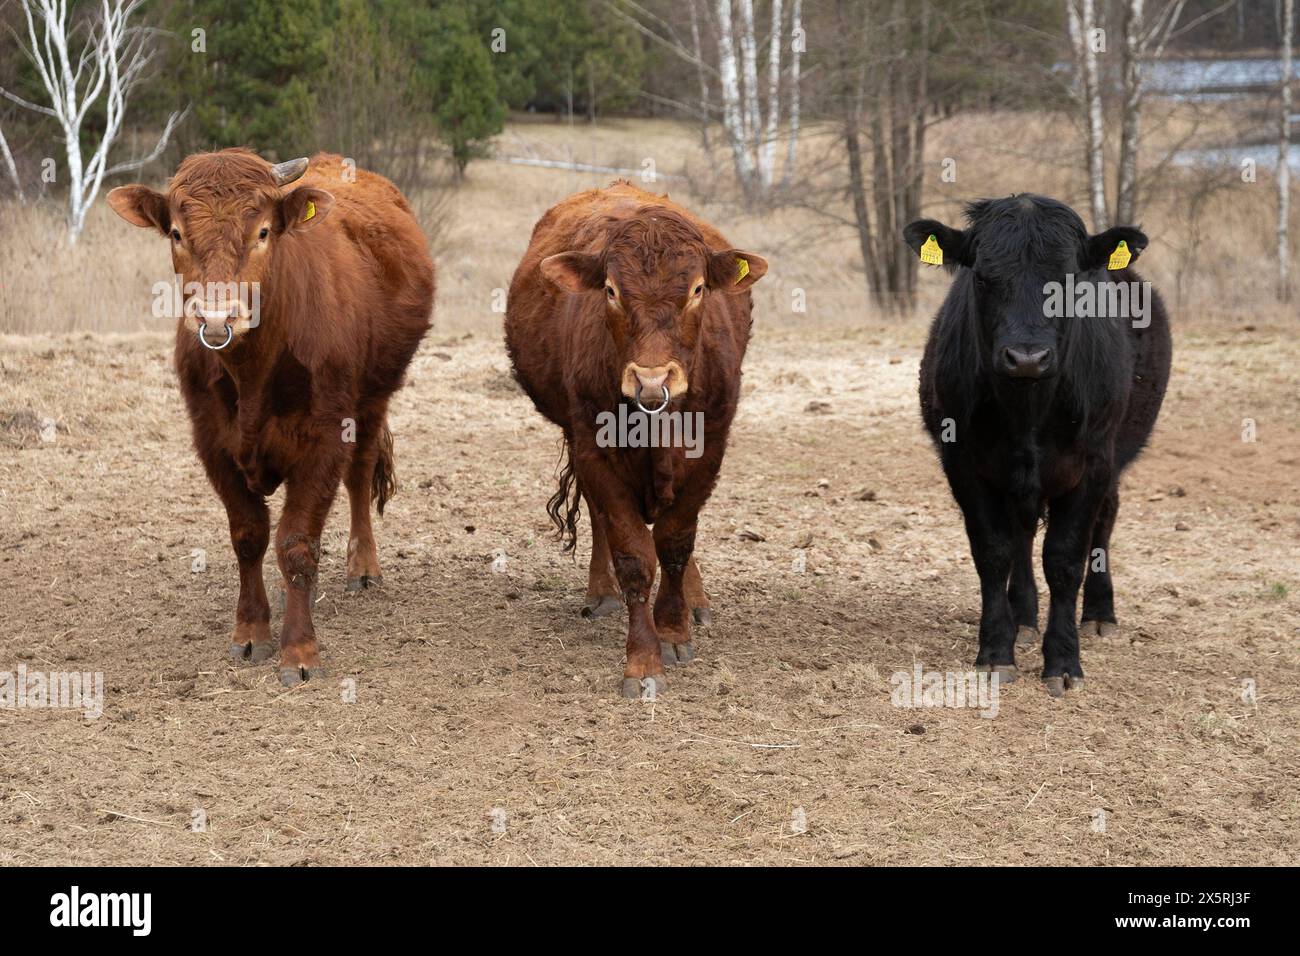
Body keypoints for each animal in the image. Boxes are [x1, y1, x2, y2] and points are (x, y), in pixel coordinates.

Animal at [108, 150, 434, 685]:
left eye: (262, 231)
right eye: (176, 233)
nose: (217, 319)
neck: (252, 369)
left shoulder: (325, 439)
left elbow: (297, 543)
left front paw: (299, 651)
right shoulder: (213, 443)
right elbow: (250, 536)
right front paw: (250, 632)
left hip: (373, 399)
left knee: (361, 473)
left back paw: (363, 567)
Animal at [505, 182, 767, 698]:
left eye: (698, 289)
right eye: (611, 290)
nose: (650, 379)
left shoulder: (709, 449)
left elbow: (675, 542)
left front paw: (674, 629)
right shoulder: (594, 448)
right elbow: (633, 554)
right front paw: (643, 658)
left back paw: (696, 600)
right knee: (599, 519)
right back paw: (601, 593)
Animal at [904, 194, 1171, 696]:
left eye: (1069, 280)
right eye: (983, 277)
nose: (1026, 357)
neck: (1027, 407)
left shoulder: (1091, 465)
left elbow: (1065, 559)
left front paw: (1064, 661)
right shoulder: (964, 463)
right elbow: (995, 551)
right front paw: (996, 651)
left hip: (1117, 453)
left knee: (1104, 522)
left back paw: (1100, 614)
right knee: (1023, 535)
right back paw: (1023, 617)